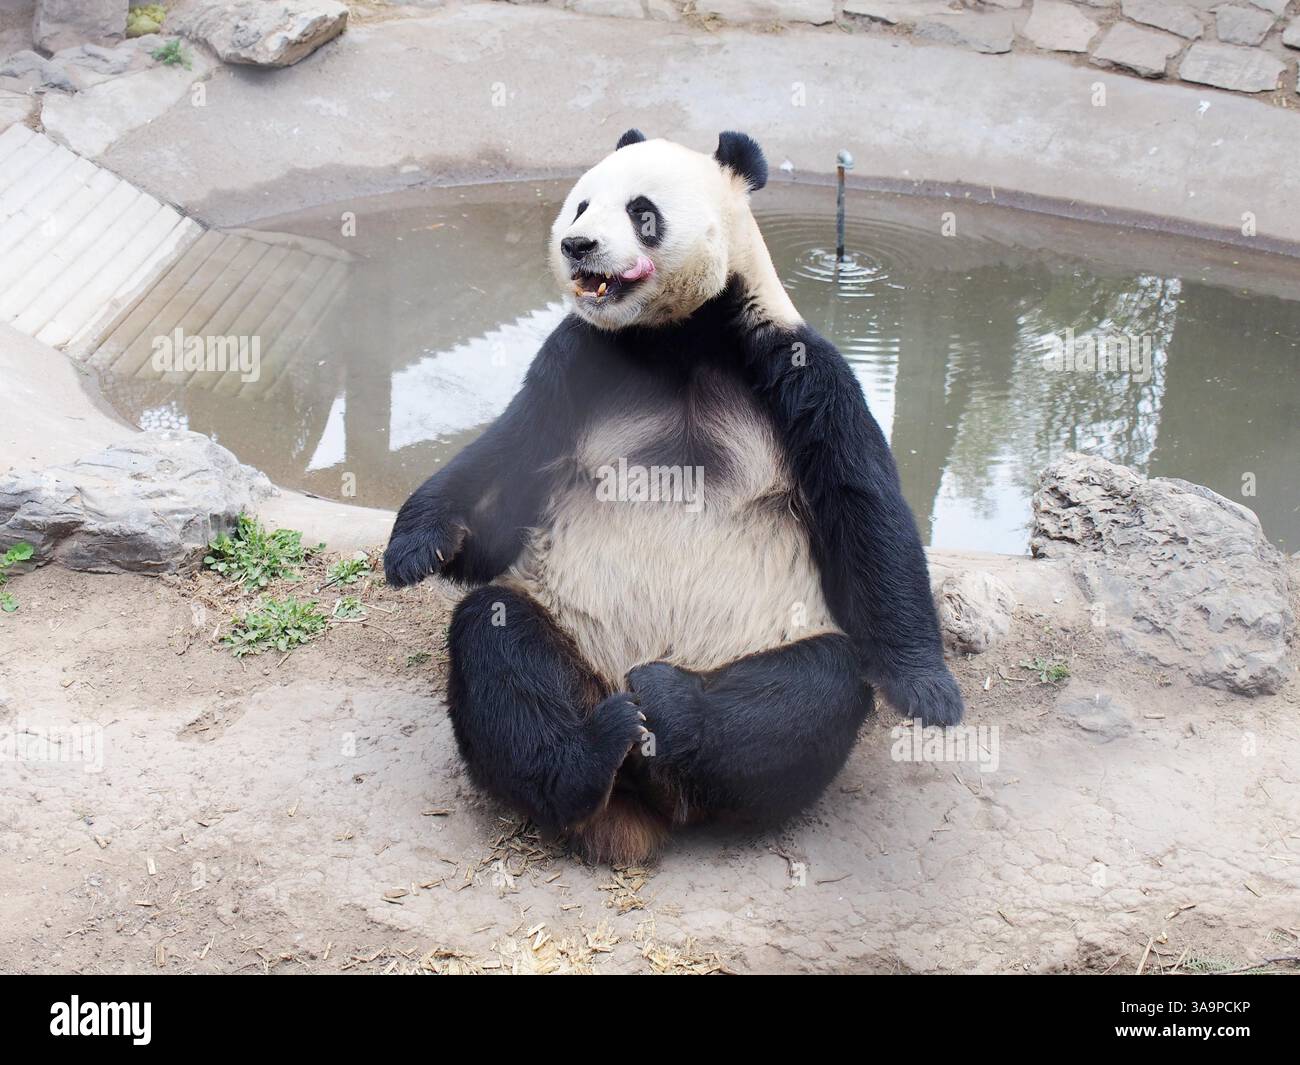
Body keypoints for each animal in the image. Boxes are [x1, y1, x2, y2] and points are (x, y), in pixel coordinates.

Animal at [384, 130, 964, 865]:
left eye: (642, 212)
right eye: (581, 203)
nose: (577, 245)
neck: (676, 335)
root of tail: (652, 796)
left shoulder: (793, 366)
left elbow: (862, 506)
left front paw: (929, 691)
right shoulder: (575, 364)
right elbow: (506, 469)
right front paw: (420, 544)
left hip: (767, 646)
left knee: (807, 692)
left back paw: (670, 702)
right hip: (571, 630)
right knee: (500, 645)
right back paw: (588, 760)